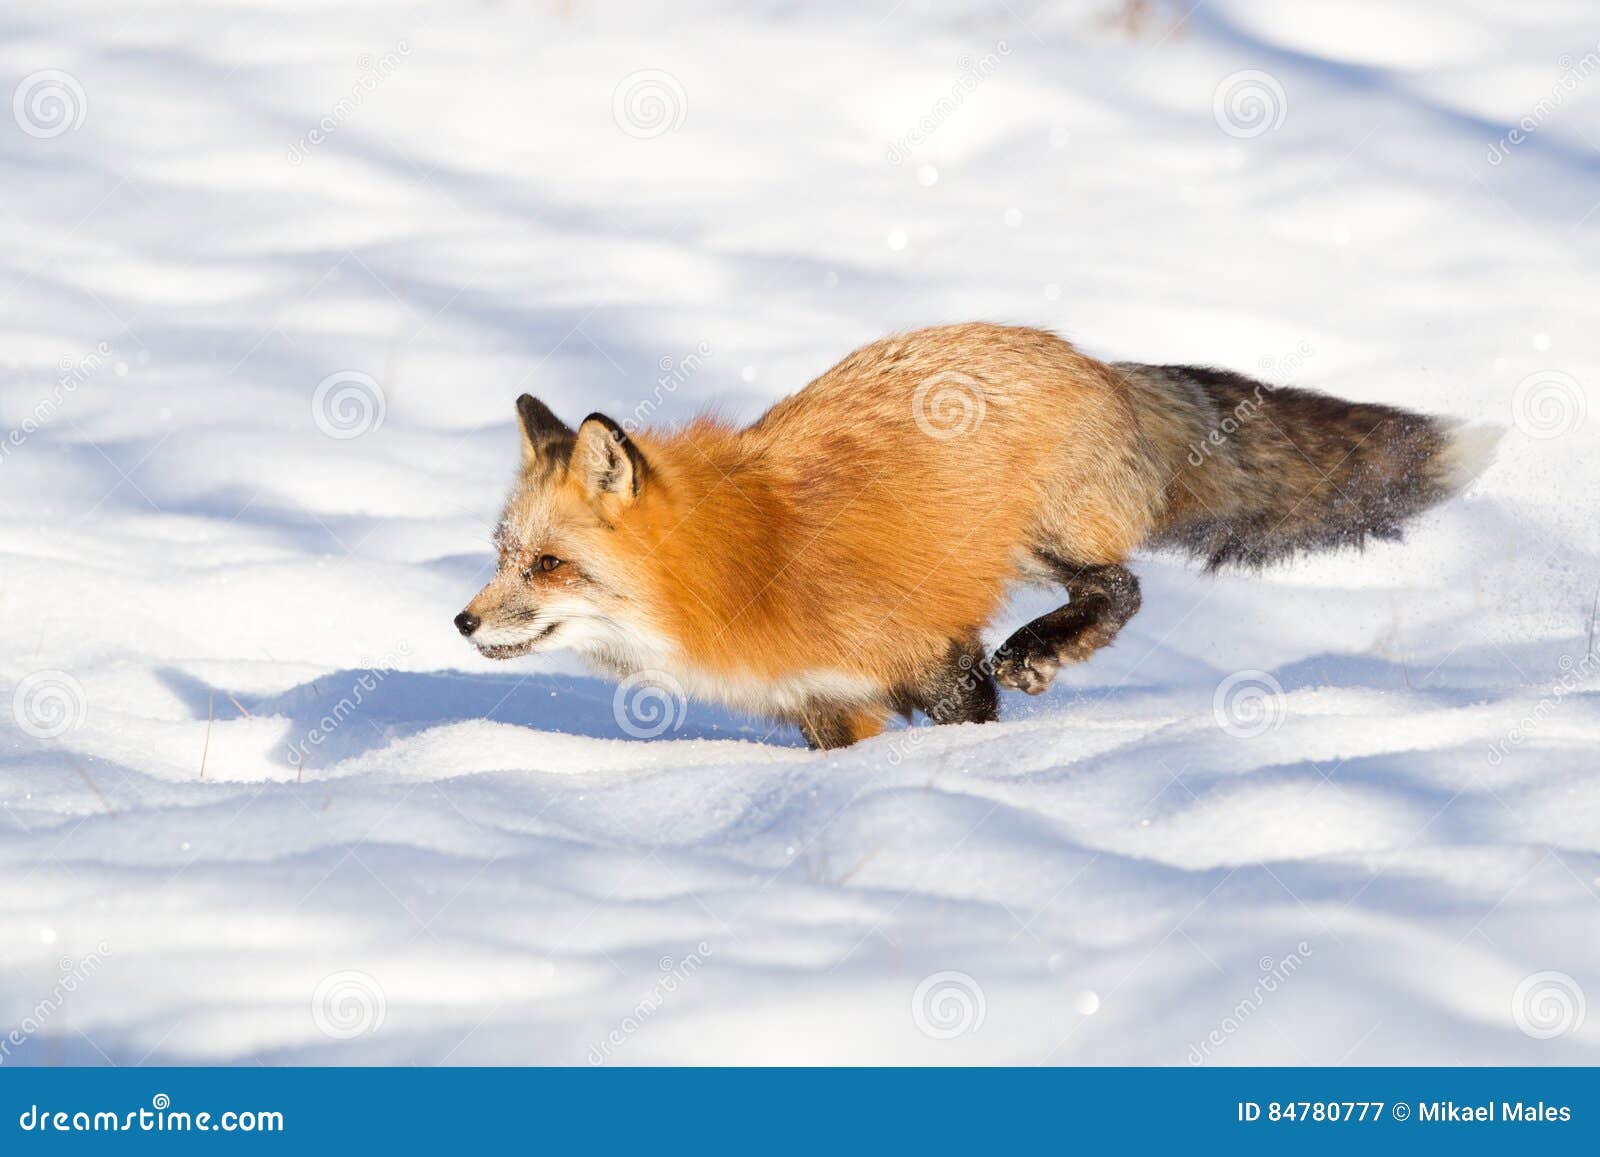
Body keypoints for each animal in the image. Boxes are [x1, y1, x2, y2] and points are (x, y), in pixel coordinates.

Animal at [454, 323, 1497, 749]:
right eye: (501, 555)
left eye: (549, 565)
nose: (462, 622)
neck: (740, 564)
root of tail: (1089, 359)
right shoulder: (828, 705)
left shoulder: (935, 658)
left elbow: (971, 717)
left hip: (1038, 540)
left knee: (1121, 586)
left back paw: (1044, 646)